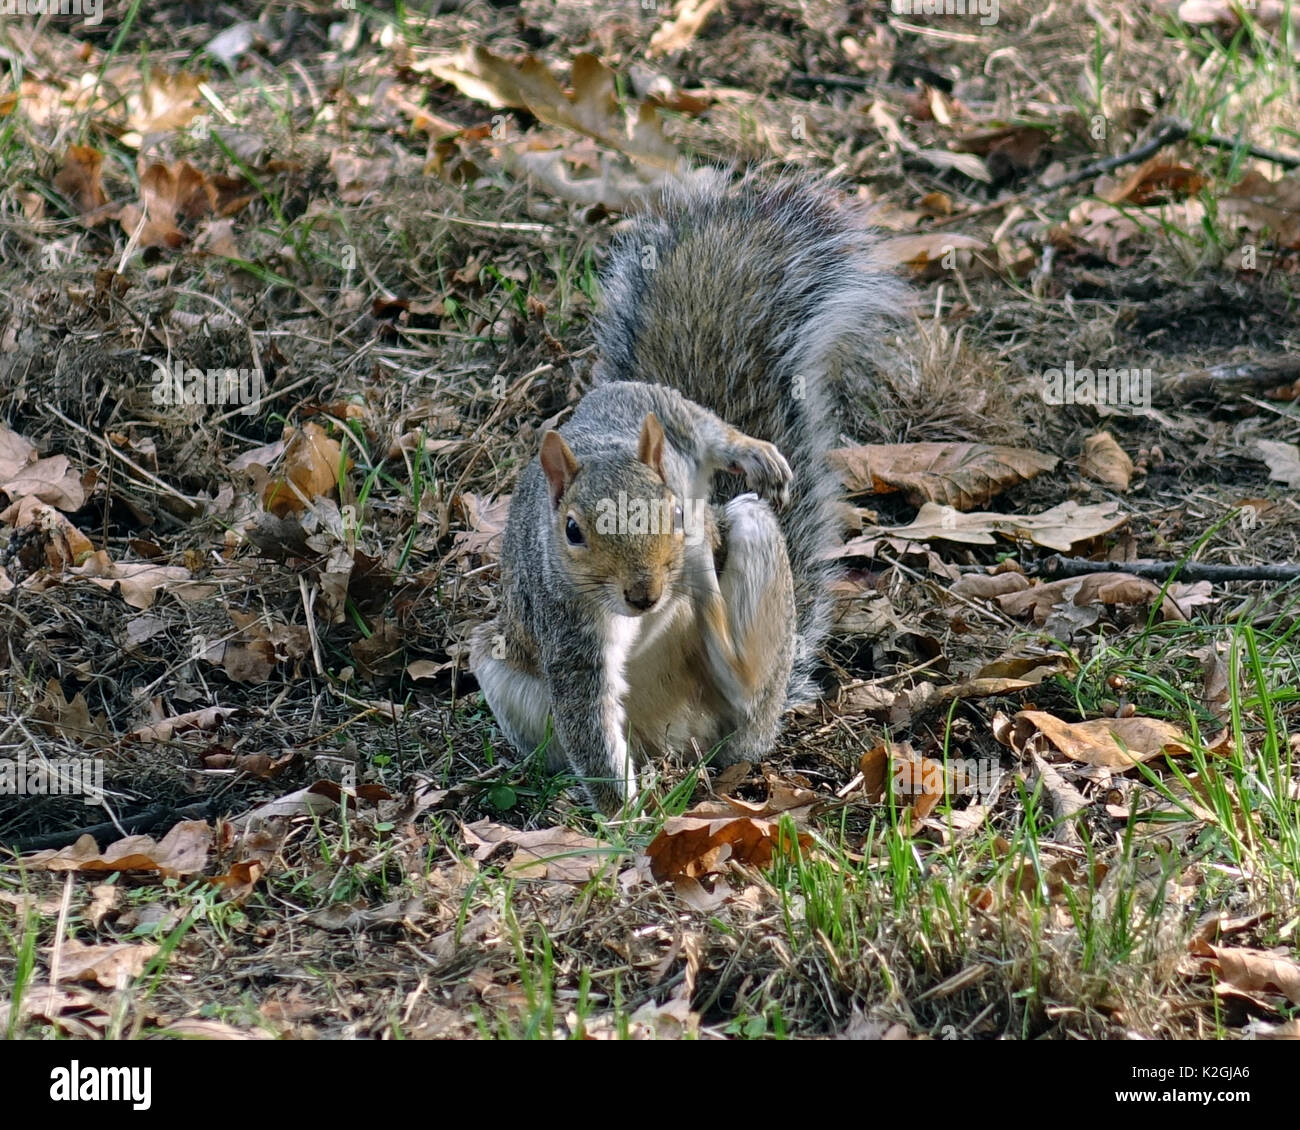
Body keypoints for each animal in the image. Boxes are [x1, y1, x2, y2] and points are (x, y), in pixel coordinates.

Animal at [470, 171, 900, 813]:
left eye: (672, 508)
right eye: (572, 531)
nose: (644, 593)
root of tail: (678, 745)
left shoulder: (645, 407)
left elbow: (691, 414)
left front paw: (750, 451)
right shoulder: (565, 624)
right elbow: (588, 723)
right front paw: (628, 820)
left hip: (751, 558)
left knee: (744, 687)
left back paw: (707, 578)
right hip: (499, 667)